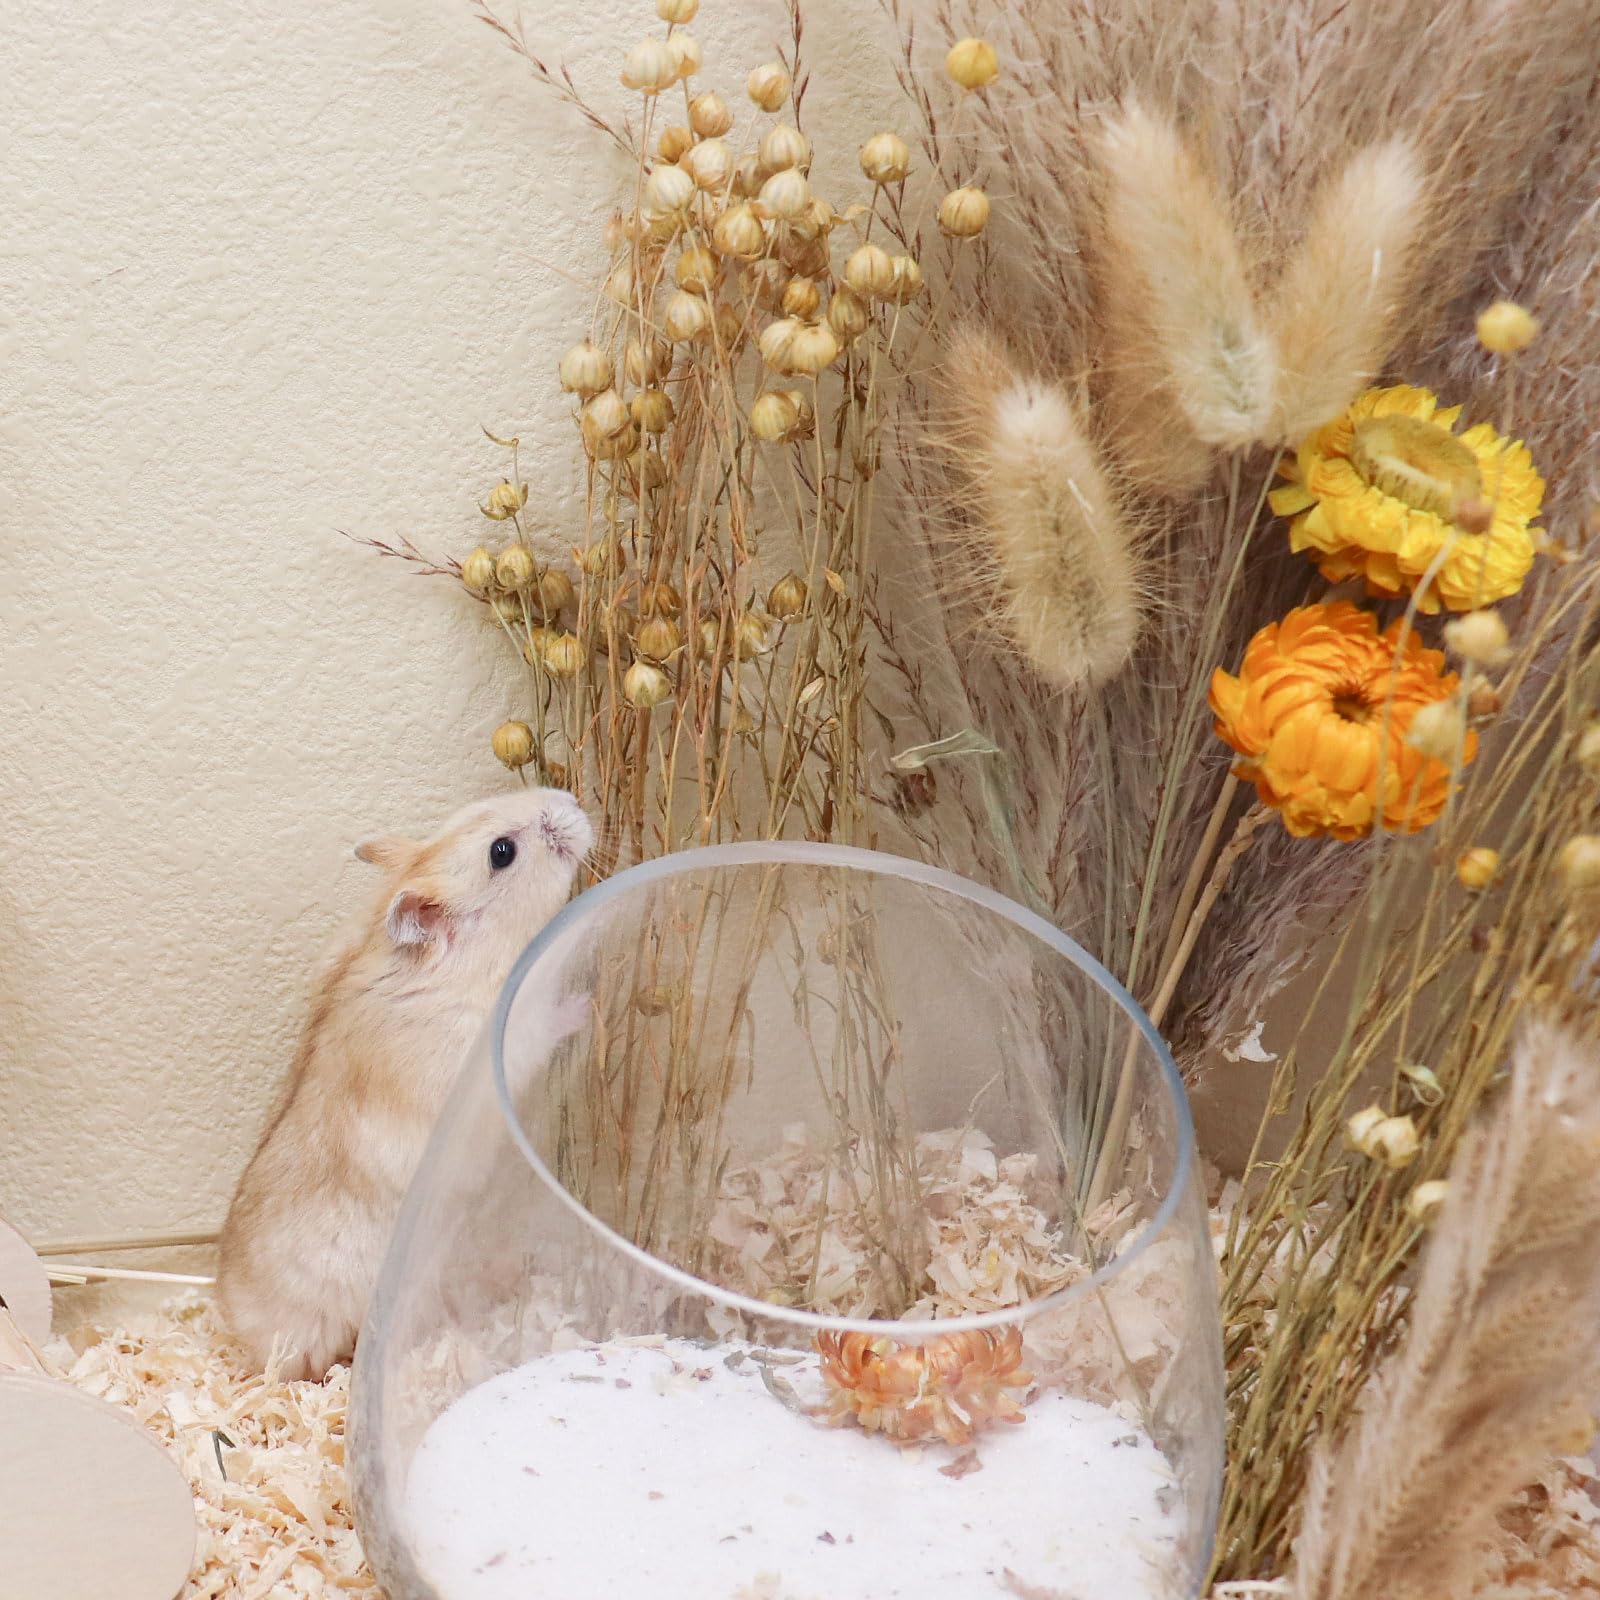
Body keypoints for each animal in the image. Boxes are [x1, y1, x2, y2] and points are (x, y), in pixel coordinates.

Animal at [216, 787, 593, 1380]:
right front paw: (590, 1001)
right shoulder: (505, 1036)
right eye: (502, 852)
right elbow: (550, 1019)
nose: (572, 800)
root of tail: (230, 1323)